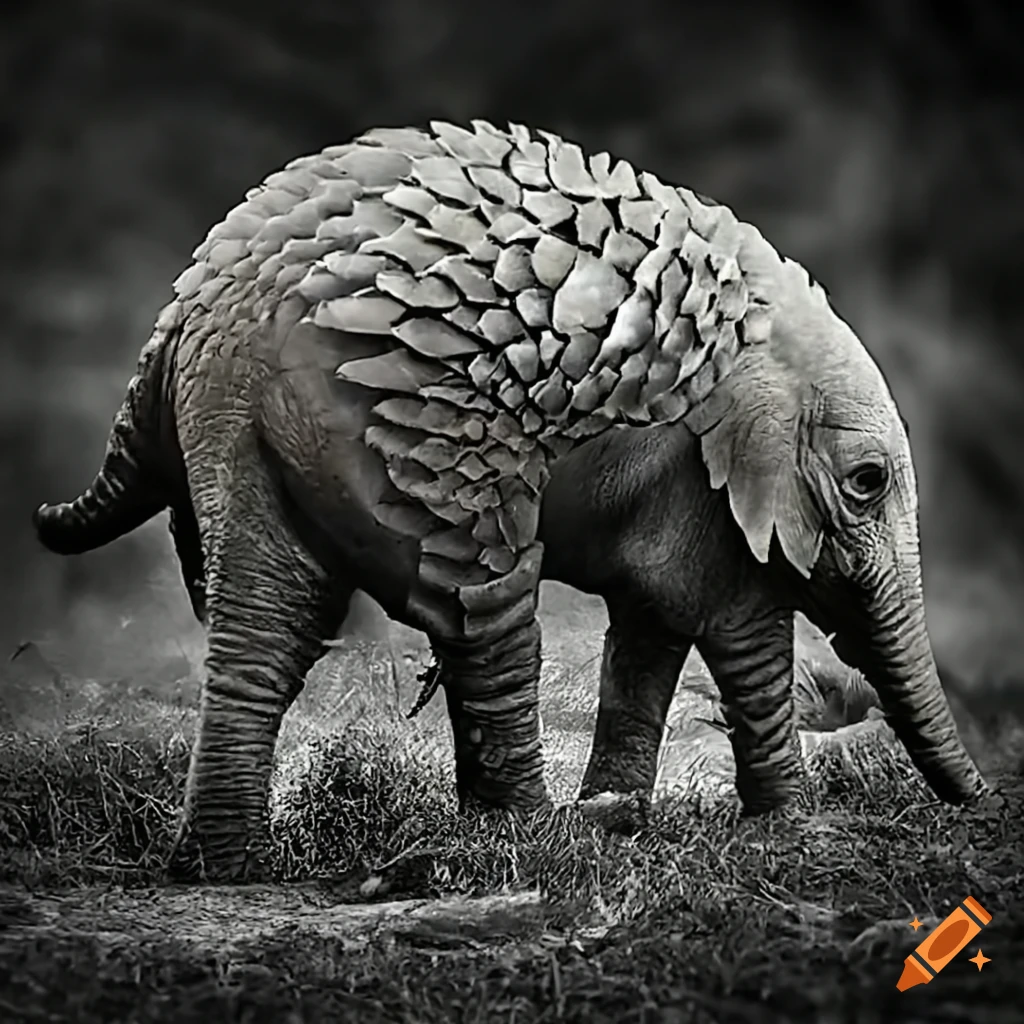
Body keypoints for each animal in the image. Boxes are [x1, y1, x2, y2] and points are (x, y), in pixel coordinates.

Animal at [32, 120, 987, 879]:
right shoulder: (697, 451)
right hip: (408, 435)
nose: (981, 800)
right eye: (866, 484)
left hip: (240, 427)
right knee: (484, 609)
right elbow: (732, 617)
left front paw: (637, 818)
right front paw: (784, 829)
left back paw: (228, 867)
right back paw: (541, 832)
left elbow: (658, 613)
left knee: (270, 627)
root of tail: (188, 313)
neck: (764, 326)